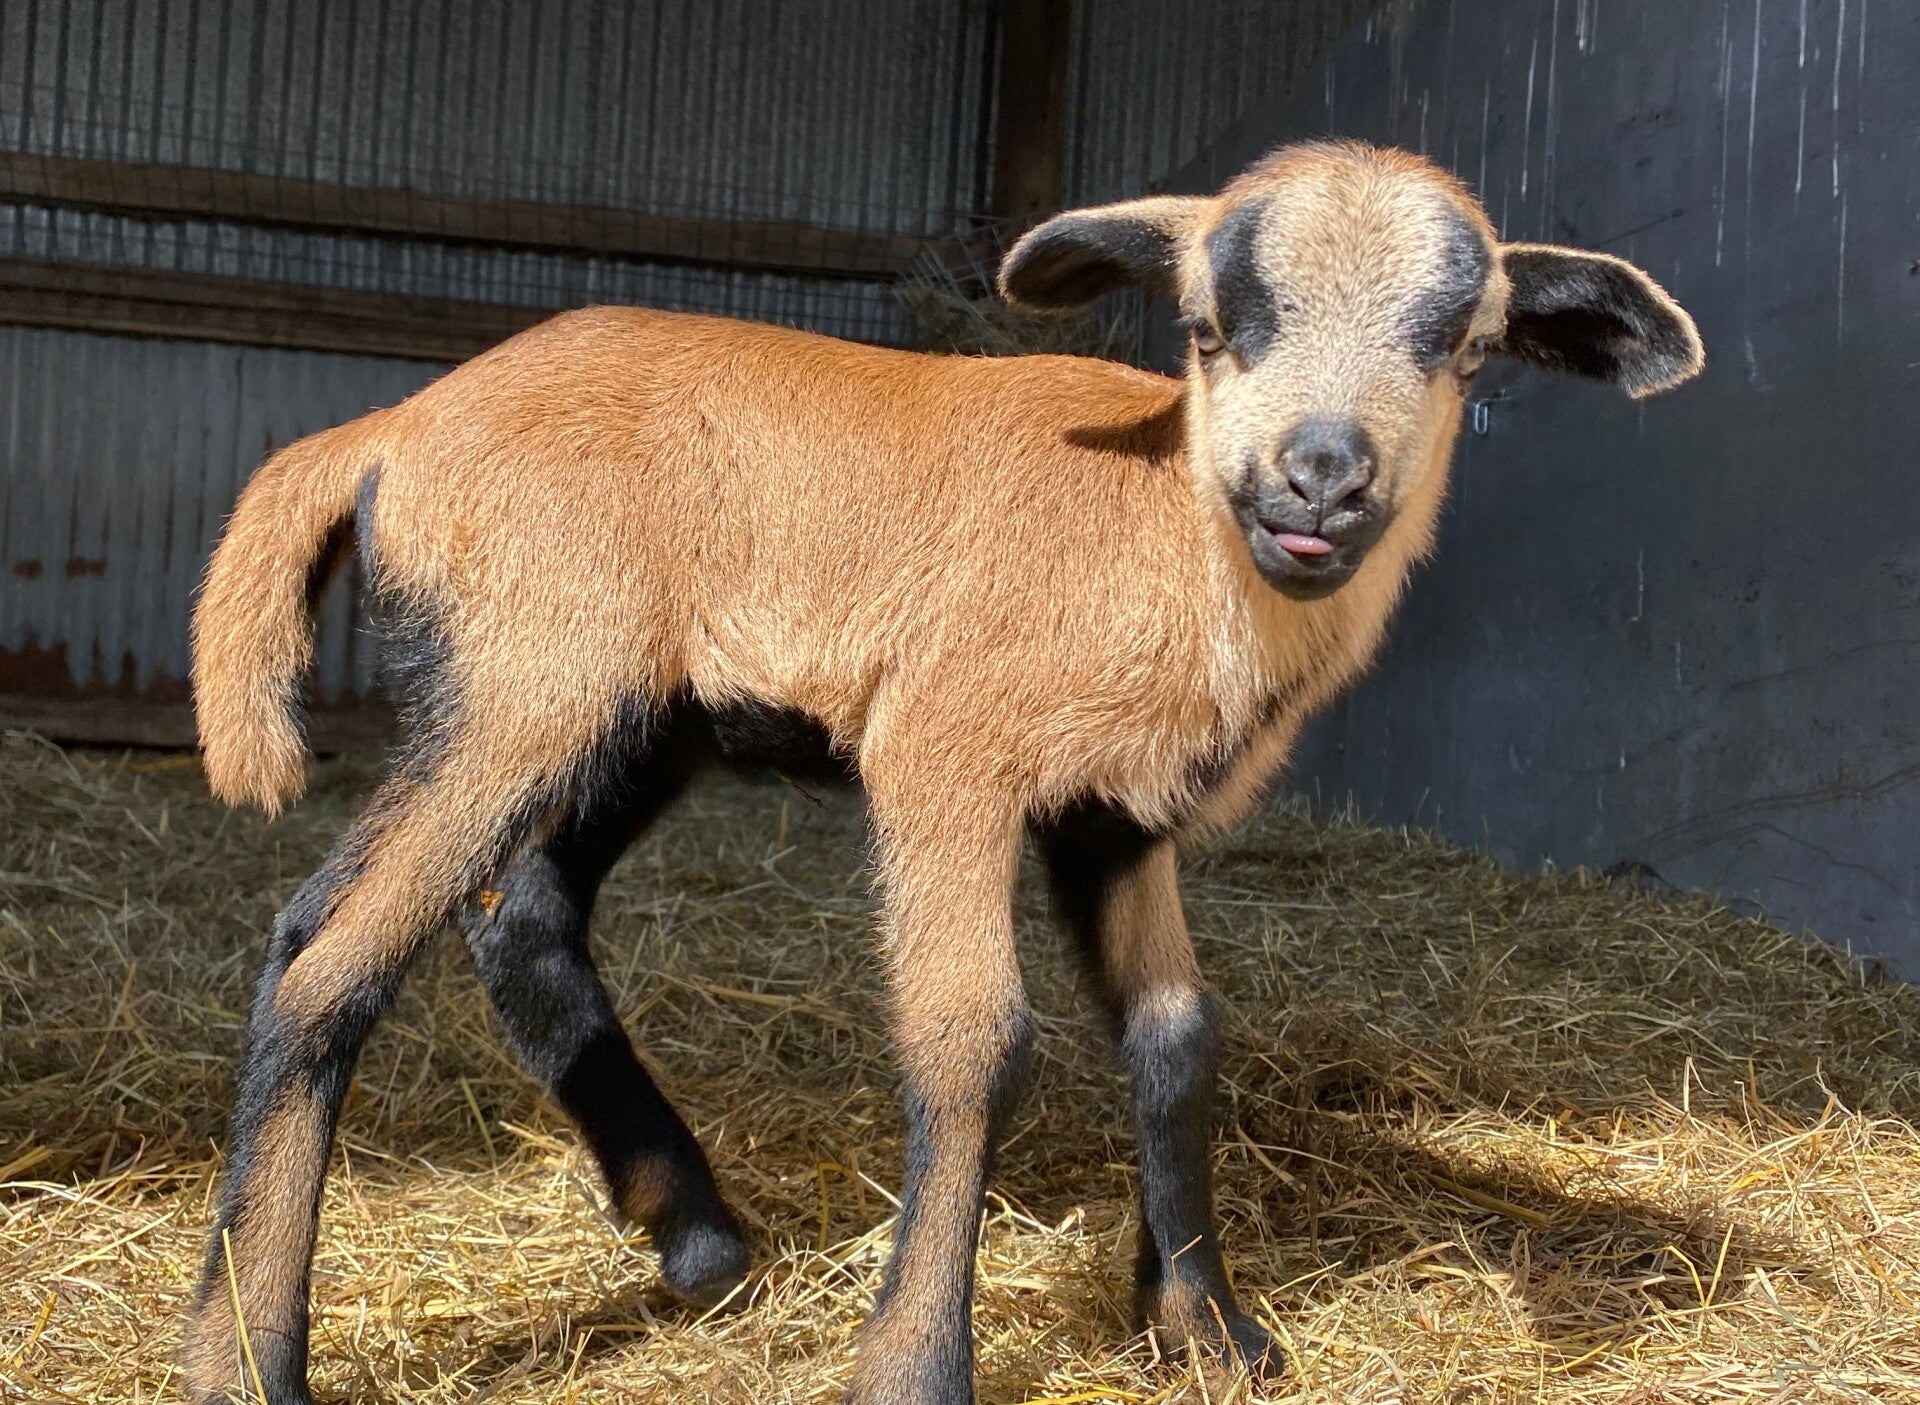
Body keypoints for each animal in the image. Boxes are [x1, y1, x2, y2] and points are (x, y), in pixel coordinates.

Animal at [183, 140, 1702, 1405]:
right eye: (1212, 328)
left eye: (1467, 348)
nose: (1320, 479)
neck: (1162, 533)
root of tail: (392, 427)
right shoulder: (944, 751)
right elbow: (977, 1039)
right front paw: (916, 1362)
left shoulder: (1114, 816)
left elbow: (1175, 1035)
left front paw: (1209, 1329)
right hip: (523, 677)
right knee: (328, 954)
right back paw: (245, 1360)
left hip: (635, 714)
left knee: (522, 919)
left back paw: (700, 1243)